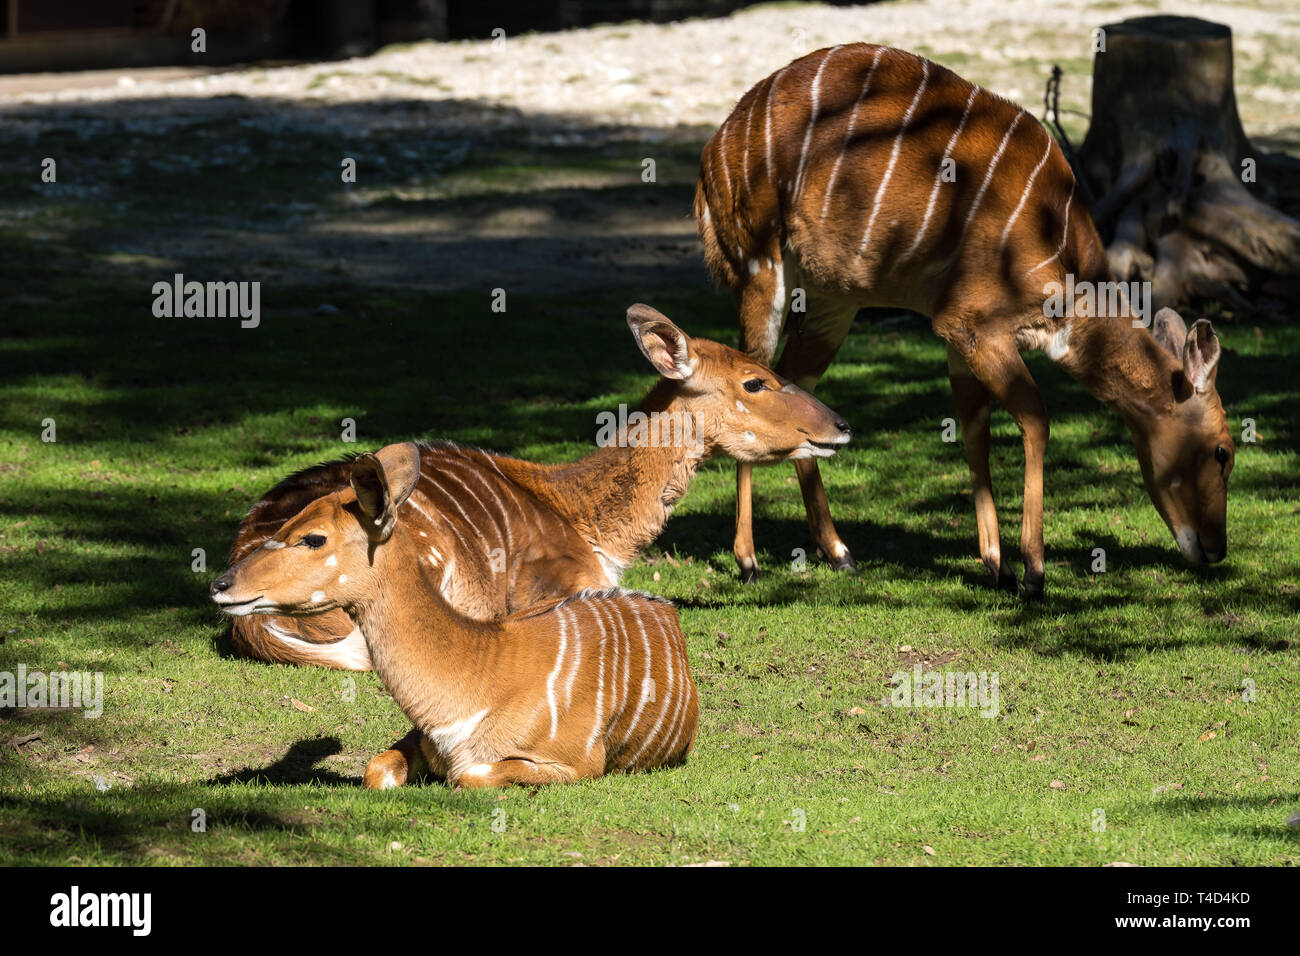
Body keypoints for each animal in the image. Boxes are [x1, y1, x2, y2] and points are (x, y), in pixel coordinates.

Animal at [211, 443, 699, 788]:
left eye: (313, 538)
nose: (221, 584)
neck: (479, 679)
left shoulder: (577, 763)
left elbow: (469, 775)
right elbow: (376, 770)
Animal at [695, 43, 1234, 597]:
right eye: (1223, 451)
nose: (1216, 549)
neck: (1060, 252)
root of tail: (713, 153)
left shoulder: (954, 331)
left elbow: (975, 428)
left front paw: (997, 564)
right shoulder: (972, 322)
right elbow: (1034, 418)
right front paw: (1032, 571)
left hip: (832, 300)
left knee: (795, 384)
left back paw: (839, 552)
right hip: (761, 269)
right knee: (749, 377)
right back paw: (748, 560)